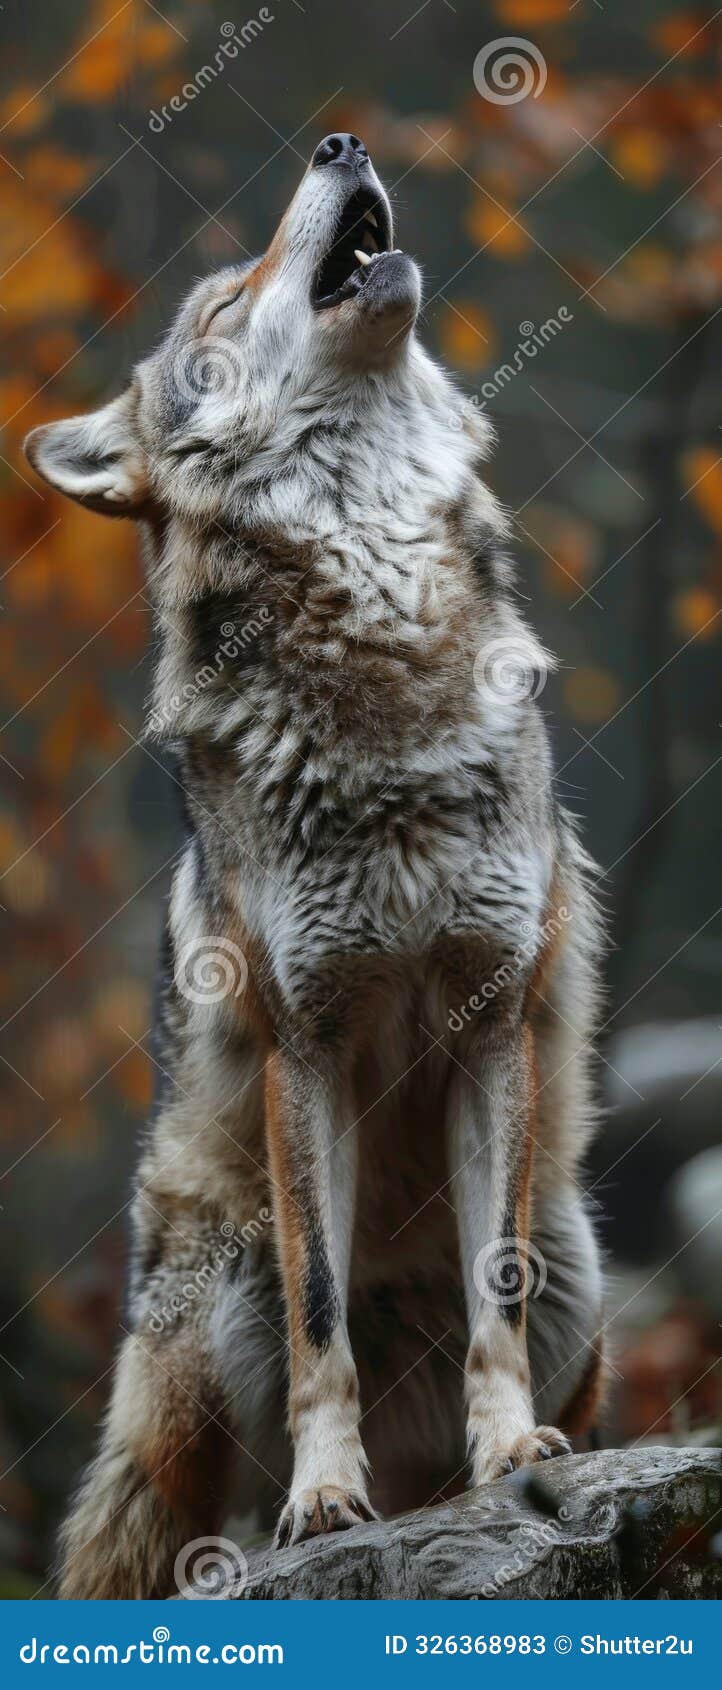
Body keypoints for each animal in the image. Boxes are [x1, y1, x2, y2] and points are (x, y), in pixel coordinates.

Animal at [26, 131, 604, 1599]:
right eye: (224, 307)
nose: (339, 144)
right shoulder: (311, 1045)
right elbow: (323, 1312)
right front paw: (326, 1497)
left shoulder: (489, 1023)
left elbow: (491, 1298)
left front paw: (511, 1453)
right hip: (217, 1299)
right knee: (188, 1520)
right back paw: (280, 1526)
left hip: (575, 1256)